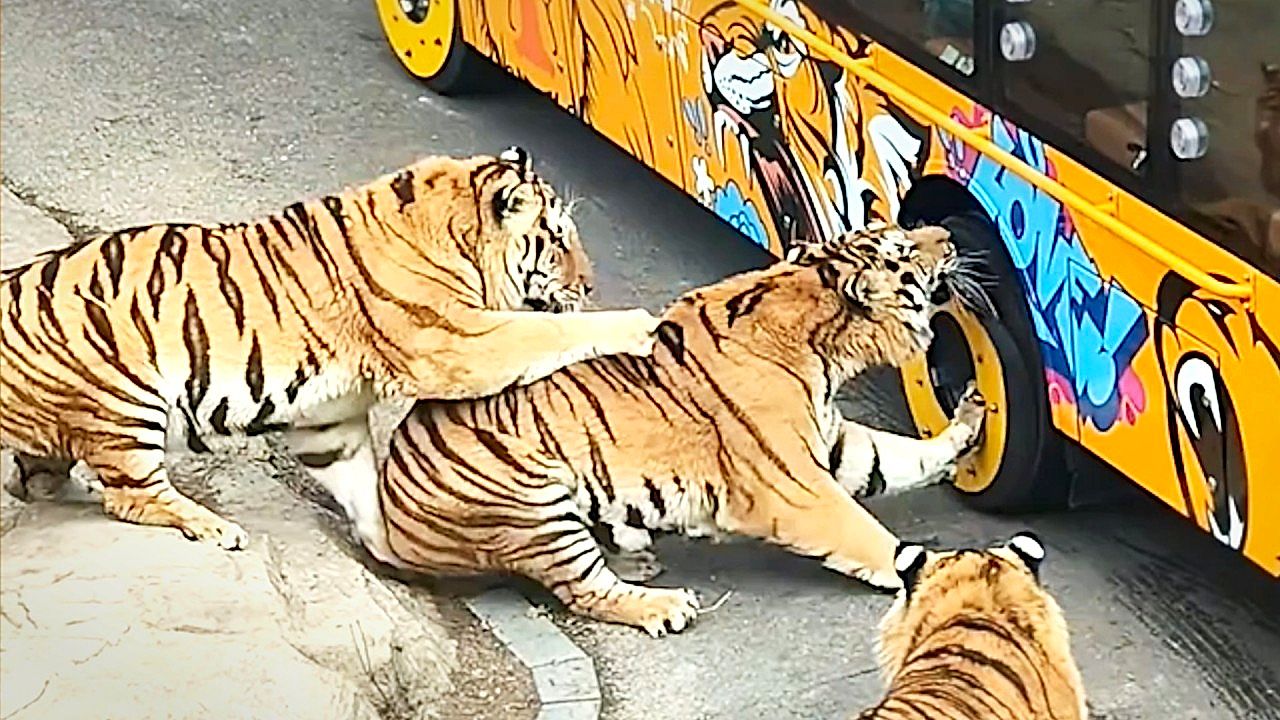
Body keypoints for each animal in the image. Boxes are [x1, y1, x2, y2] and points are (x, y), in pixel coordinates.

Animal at [0, 147, 661, 550]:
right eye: (558, 239)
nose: (589, 284)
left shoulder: (326, 414)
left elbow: (361, 483)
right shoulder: (458, 342)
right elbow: (550, 332)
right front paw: (639, 323)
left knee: (38, 481)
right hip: (123, 399)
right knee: (131, 497)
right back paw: (215, 527)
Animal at [339, 221, 992, 637]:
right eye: (906, 247)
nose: (953, 236)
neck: (824, 341)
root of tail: (388, 513)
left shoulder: (834, 443)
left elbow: (902, 456)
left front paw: (969, 418)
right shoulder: (794, 485)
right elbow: (867, 533)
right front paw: (932, 570)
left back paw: (635, 550)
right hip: (532, 501)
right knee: (582, 590)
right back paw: (664, 605)